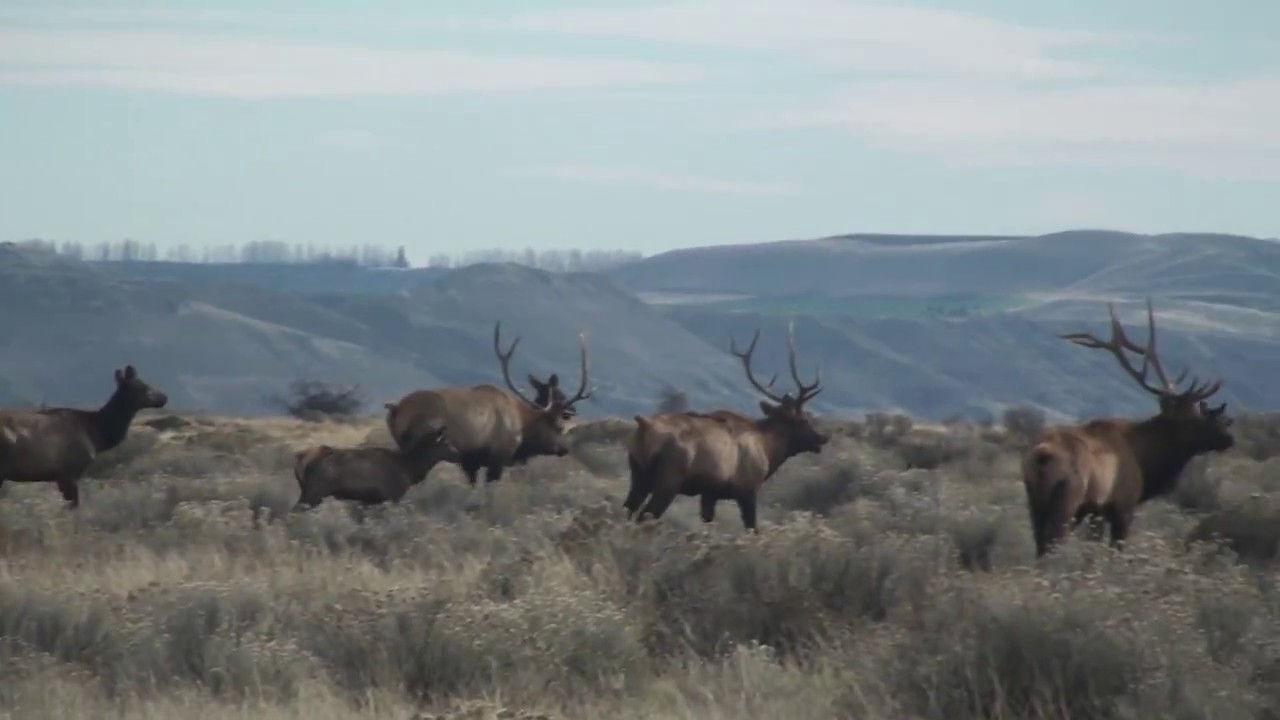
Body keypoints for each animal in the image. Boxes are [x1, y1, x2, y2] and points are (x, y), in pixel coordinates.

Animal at [0, 364, 169, 509]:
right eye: (143, 387)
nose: (164, 397)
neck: (97, 436)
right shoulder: (70, 472)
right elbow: (74, 506)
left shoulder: (61, 476)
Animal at [291, 424, 456, 511]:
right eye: (446, 442)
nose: (457, 452)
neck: (410, 469)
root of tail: (299, 459)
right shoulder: (393, 495)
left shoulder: (370, 499)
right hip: (315, 491)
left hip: (308, 491)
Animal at [384, 321, 593, 485]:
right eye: (559, 426)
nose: (564, 449)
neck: (521, 427)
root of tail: (395, 409)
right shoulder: (497, 458)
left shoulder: (471, 463)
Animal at [624, 321, 829, 532]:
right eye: (804, 419)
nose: (822, 437)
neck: (769, 449)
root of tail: (644, 425)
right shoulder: (748, 490)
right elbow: (752, 528)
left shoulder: (710, 493)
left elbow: (708, 522)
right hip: (669, 479)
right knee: (645, 515)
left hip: (638, 475)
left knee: (628, 510)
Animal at [1022, 300, 1235, 558]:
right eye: (1192, 419)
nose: (1228, 439)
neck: (1145, 460)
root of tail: (1041, 456)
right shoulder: (1123, 505)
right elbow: (1117, 550)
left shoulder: (1096, 512)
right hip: (1067, 498)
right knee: (1051, 545)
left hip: (1034, 500)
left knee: (1039, 546)